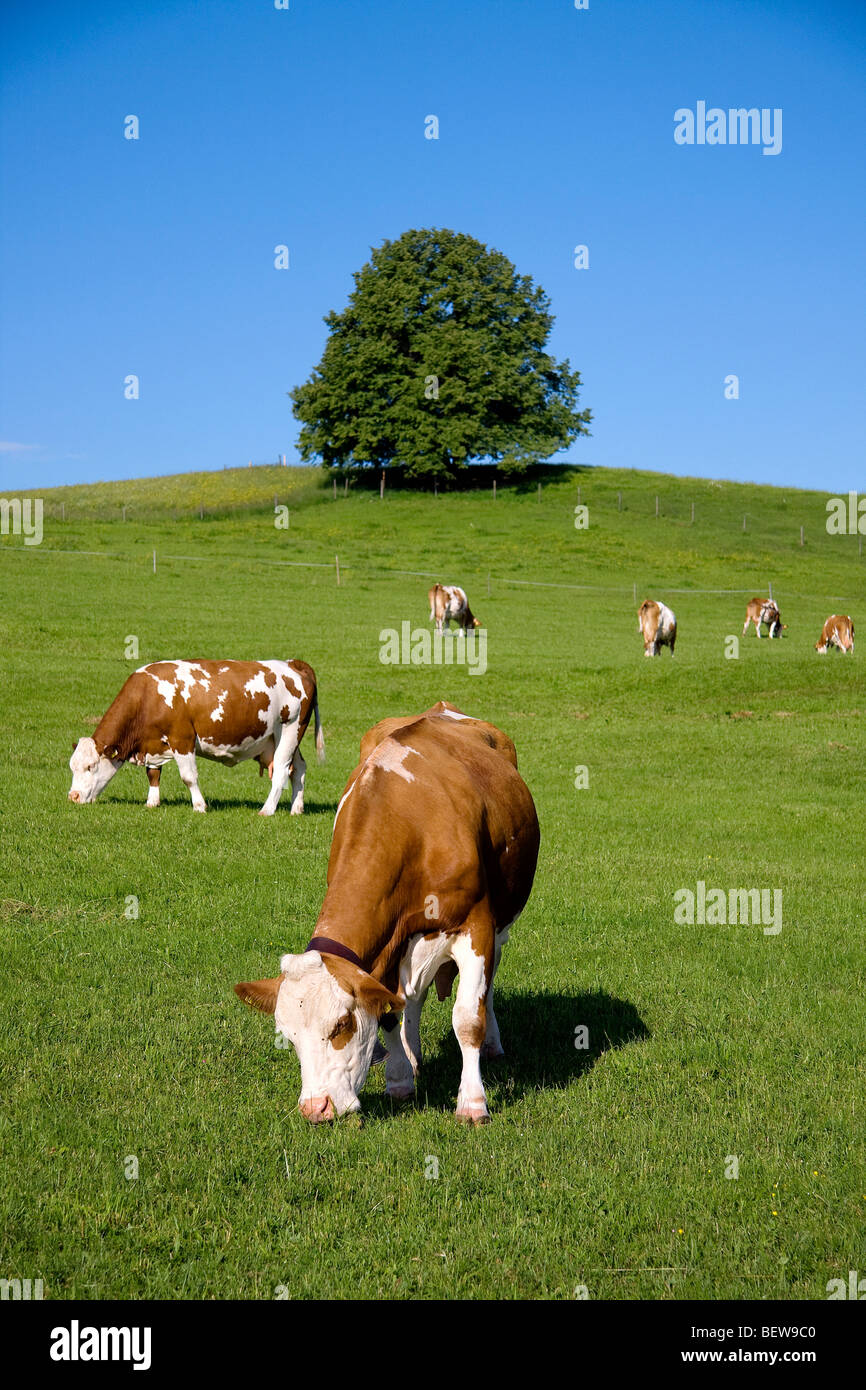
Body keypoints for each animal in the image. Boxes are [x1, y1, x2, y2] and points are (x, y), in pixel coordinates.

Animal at [68, 659, 324, 815]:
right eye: (73, 767)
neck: (148, 695)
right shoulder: (154, 743)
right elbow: (153, 774)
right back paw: (296, 808)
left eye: (91, 766)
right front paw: (152, 802)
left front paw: (199, 805)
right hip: (283, 739)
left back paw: (267, 810)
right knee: (298, 769)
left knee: (281, 770)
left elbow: (189, 777)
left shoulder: (182, 739)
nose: (73, 796)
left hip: (290, 729)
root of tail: (292, 664)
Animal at [234, 701, 539, 1125]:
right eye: (290, 1037)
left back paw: (492, 1045)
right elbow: (390, 1011)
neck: (409, 822)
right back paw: (412, 1055)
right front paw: (399, 1080)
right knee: (410, 1000)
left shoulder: (475, 924)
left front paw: (473, 1103)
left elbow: (467, 1018)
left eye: (341, 1025)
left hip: (498, 927)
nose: (315, 1108)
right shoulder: (389, 946)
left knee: (486, 988)